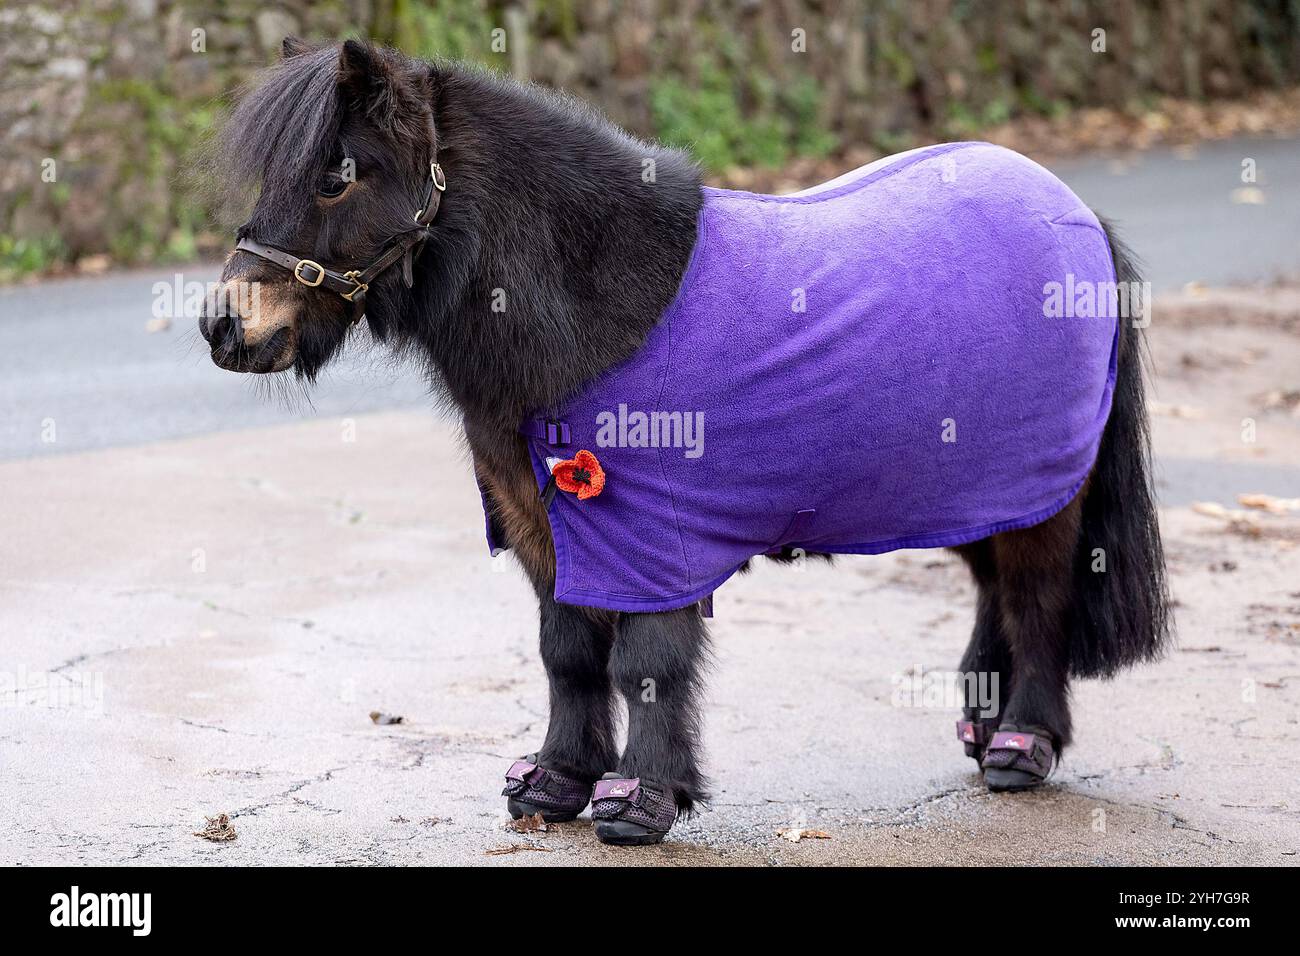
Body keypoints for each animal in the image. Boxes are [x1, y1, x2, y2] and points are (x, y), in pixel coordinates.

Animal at [200, 38, 1170, 846]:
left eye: (338, 176)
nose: (223, 325)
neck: (603, 304)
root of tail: (1076, 213)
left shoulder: (651, 539)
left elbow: (646, 664)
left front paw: (642, 800)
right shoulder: (550, 527)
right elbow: (567, 651)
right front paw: (555, 782)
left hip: (1045, 491)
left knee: (1037, 596)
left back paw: (1021, 743)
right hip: (969, 487)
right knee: (993, 587)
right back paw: (981, 722)